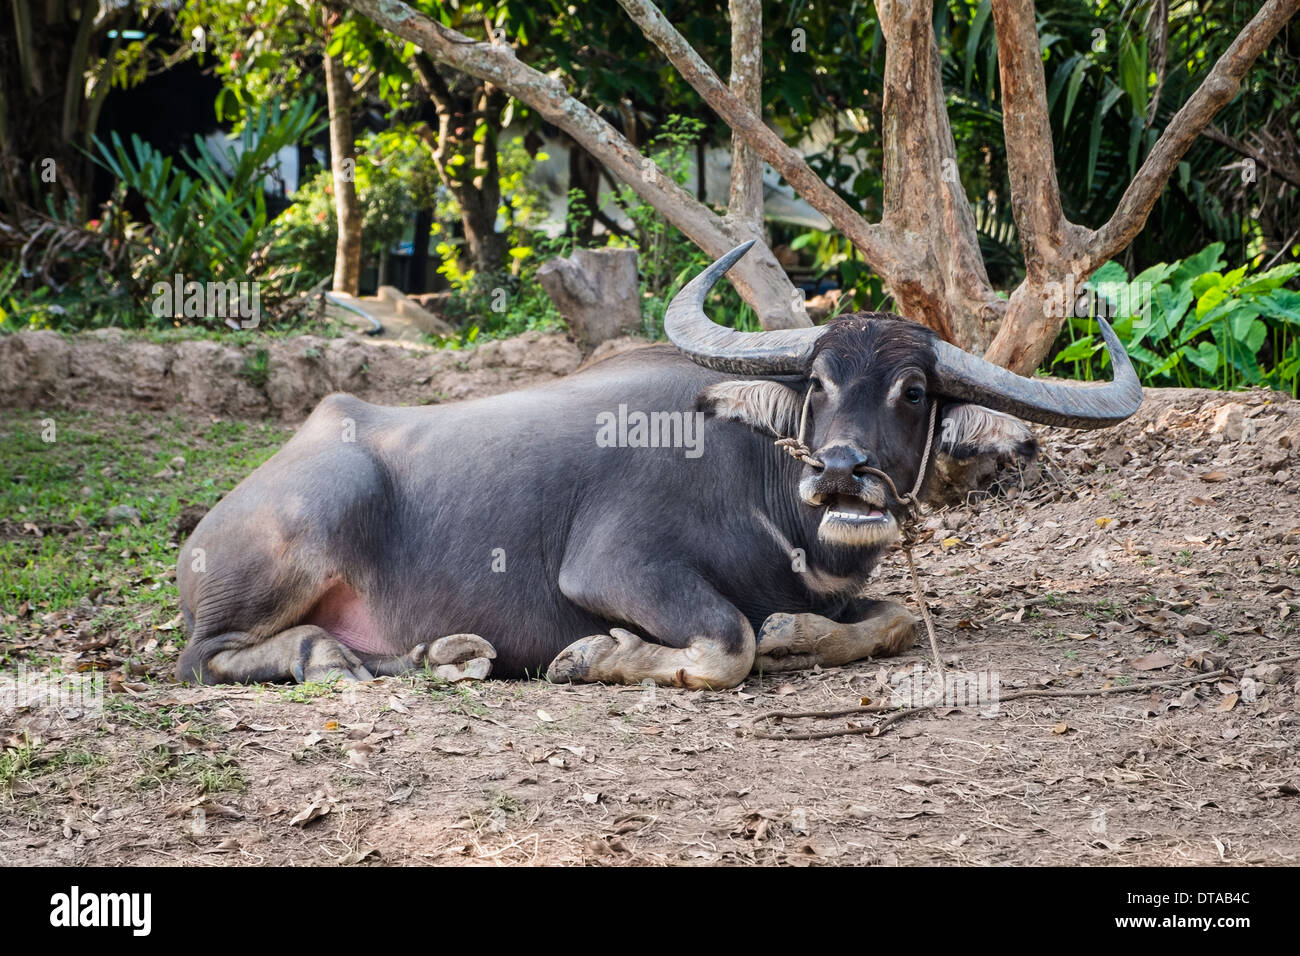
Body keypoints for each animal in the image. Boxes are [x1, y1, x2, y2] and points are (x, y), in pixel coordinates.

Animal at [177, 243, 1141, 688]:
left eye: (913, 391)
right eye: (819, 383)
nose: (842, 471)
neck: (766, 492)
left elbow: (896, 615)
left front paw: (798, 632)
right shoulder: (617, 566)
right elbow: (730, 641)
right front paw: (595, 655)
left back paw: (448, 653)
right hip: (308, 522)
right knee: (203, 658)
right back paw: (326, 660)